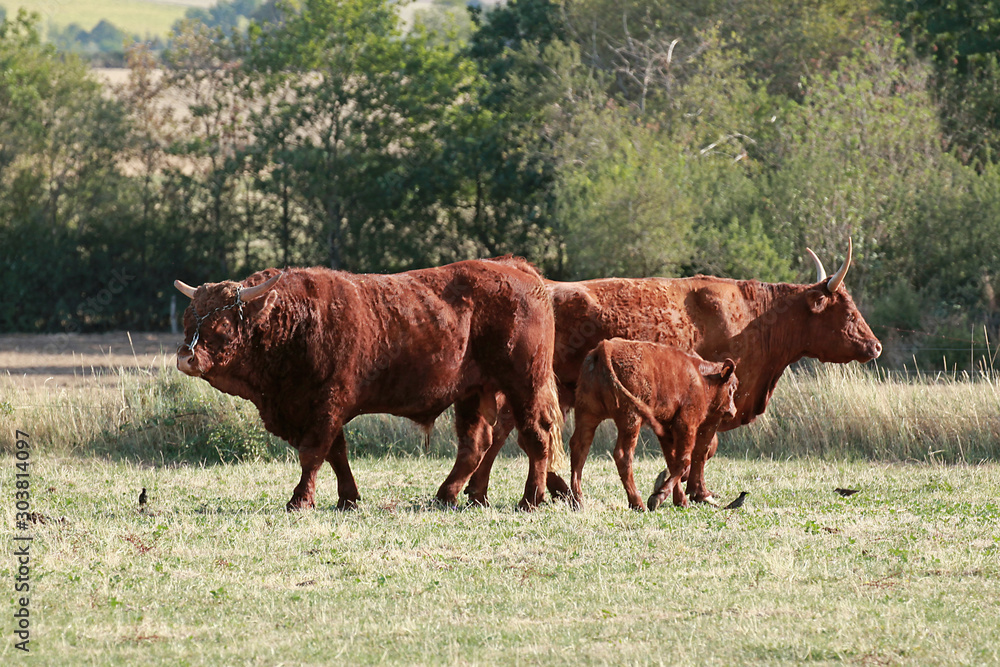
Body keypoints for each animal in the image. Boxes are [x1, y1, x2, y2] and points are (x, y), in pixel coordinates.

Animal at [172, 257, 563, 511]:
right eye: (188, 318)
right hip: (473, 392)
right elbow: (336, 453)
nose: (184, 357)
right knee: (476, 444)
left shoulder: (328, 404)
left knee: (535, 436)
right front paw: (348, 498)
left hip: (525, 385)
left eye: (220, 324)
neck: (295, 320)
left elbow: (313, 453)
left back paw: (530, 499)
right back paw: (448, 495)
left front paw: (300, 500)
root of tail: (513, 267)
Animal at [568, 339, 739, 511]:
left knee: (579, 449)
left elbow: (672, 461)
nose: (733, 410)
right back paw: (637, 503)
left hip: (587, 415)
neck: (701, 378)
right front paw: (658, 496)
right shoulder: (686, 424)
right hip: (631, 419)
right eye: (732, 387)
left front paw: (680, 500)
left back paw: (578, 501)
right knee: (623, 455)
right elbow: (683, 461)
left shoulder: (666, 430)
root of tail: (607, 345)